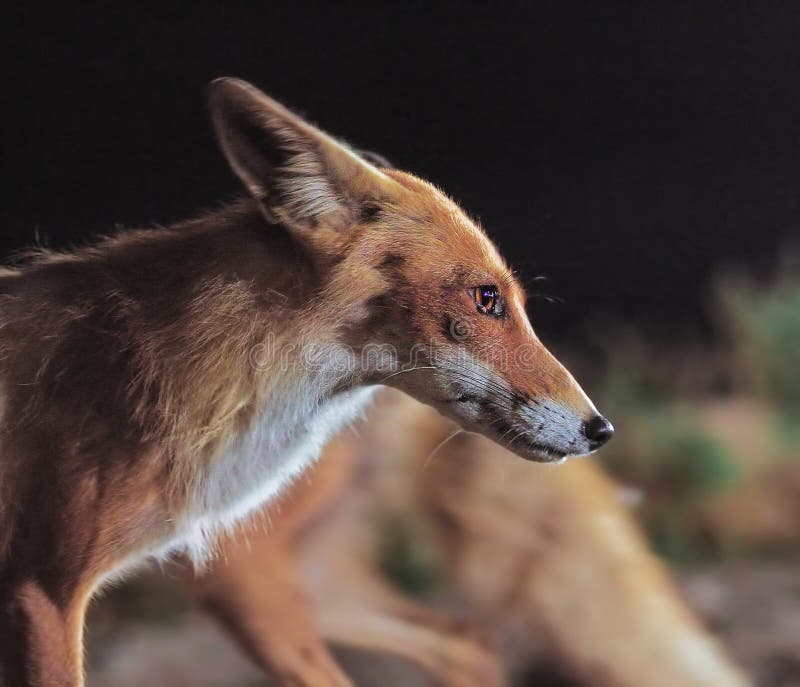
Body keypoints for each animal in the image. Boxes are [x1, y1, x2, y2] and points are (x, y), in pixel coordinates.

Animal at [0, 78, 613, 686]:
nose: (601, 430)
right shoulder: (42, 590)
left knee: (464, 640)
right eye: (486, 298)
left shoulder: (39, 588)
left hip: (255, 581)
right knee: (463, 640)